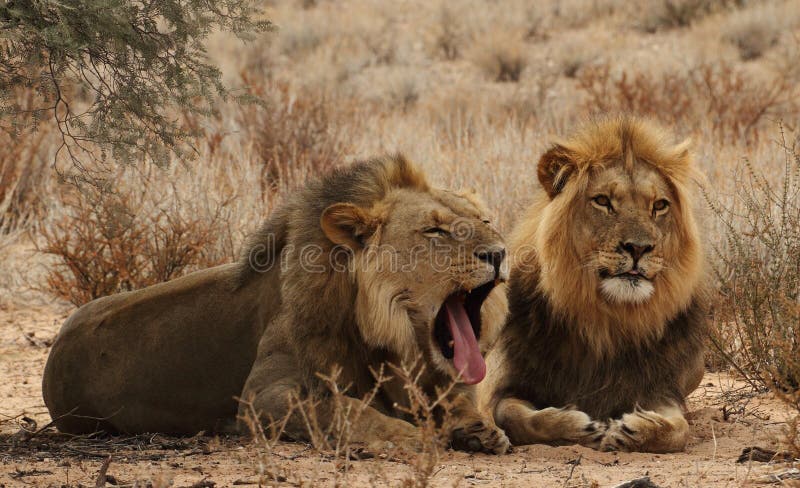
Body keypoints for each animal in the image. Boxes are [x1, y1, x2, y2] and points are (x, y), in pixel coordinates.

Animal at [43, 155, 511, 454]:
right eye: (435, 231)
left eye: (485, 220)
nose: (499, 252)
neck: (389, 342)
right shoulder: (260, 397)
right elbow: (342, 408)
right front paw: (405, 437)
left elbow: (457, 398)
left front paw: (478, 429)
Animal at [479, 117, 707, 453]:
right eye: (602, 201)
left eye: (659, 205)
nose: (639, 248)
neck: (604, 320)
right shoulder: (499, 388)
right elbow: (514, 416)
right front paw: (579, 425)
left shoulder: (662, 391)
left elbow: (678, 430)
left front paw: (631, 430)